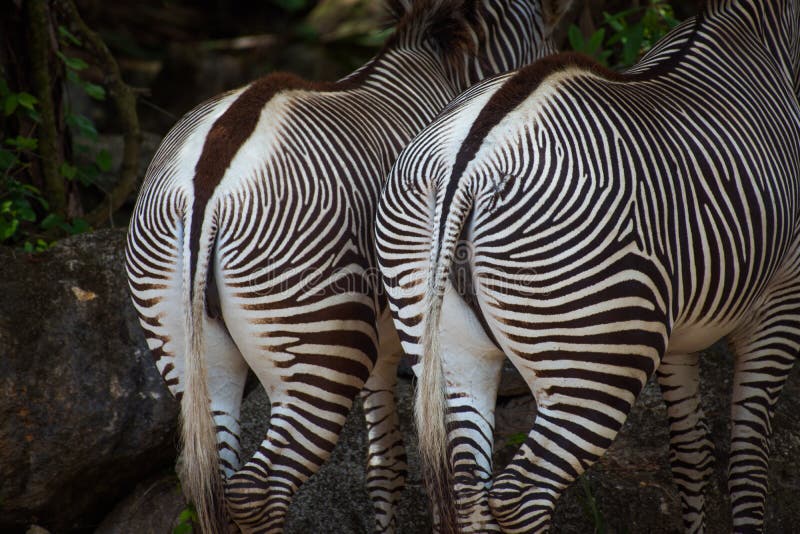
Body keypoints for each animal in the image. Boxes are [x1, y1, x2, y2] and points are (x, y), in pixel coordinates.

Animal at [126, 0, 572, 532]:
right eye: (547, 41)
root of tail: (208, 183)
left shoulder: (388, 325)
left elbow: (385, 463)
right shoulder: (400, 326)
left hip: (183, 340)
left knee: (213, 480)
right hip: (318, 342)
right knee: (258, 487)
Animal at [376, 0, 800, 532]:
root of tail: (469, 165)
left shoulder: (682, 331)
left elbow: (693, 452)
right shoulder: (781, 299)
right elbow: (746, 458)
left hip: (446, 338)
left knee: (467, 490)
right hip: (597, 354)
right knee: (521, 495)